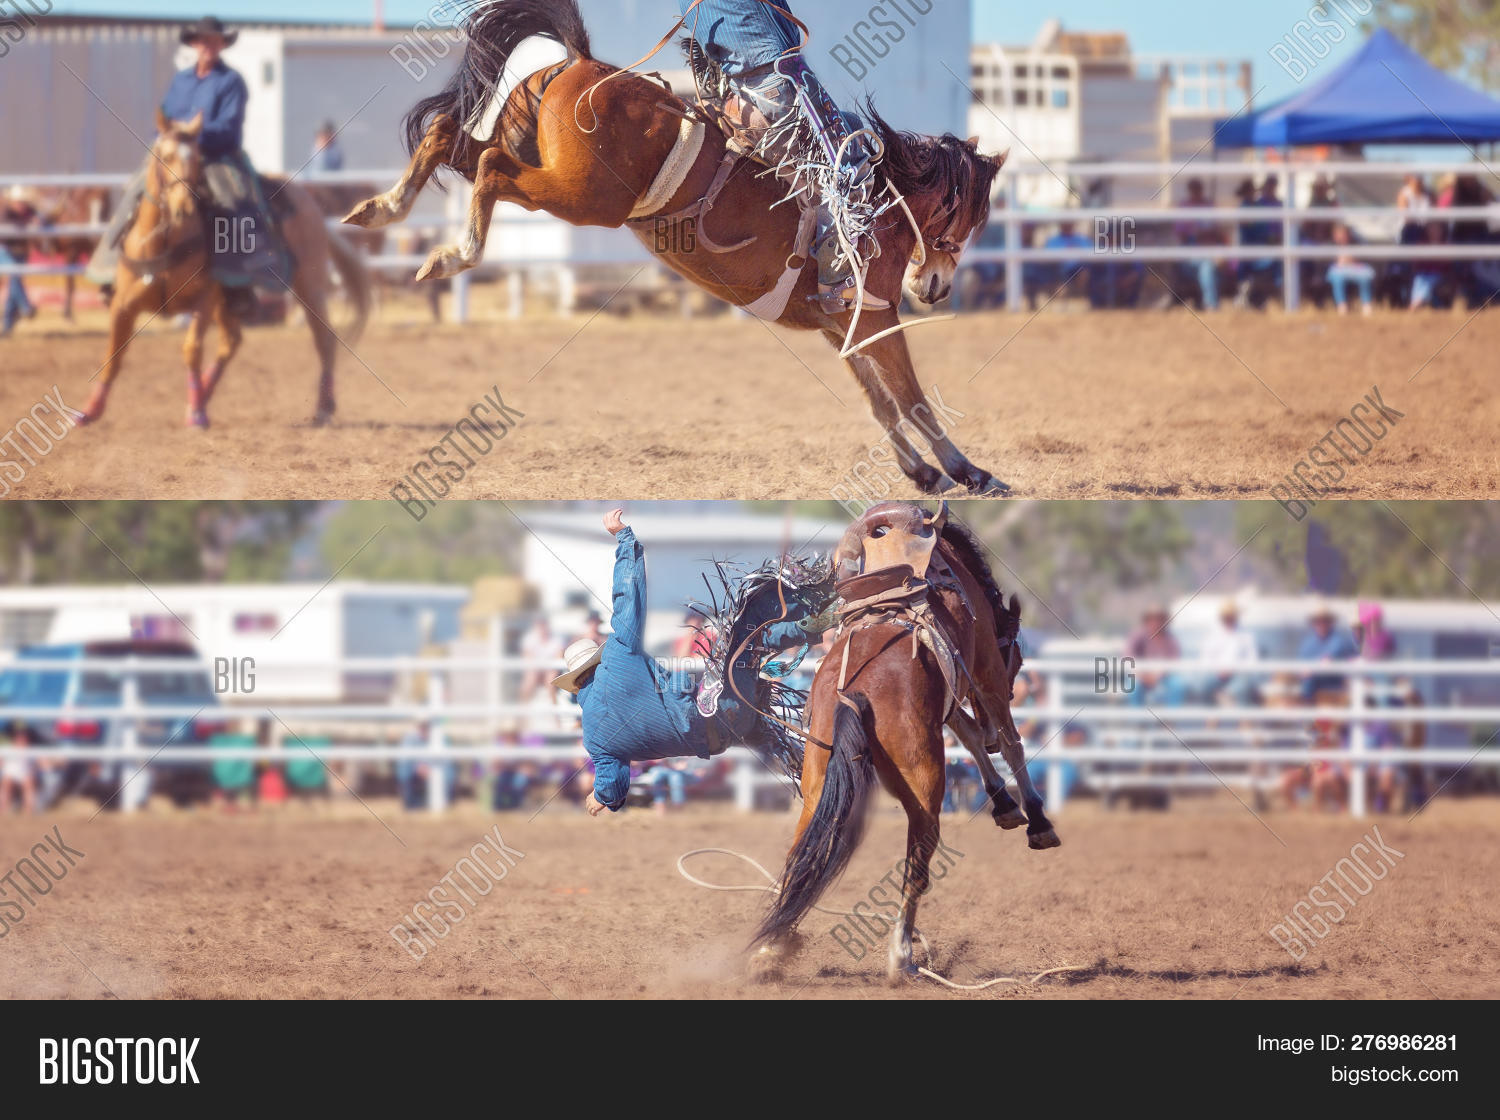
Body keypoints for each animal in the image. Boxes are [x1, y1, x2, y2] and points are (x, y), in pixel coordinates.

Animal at [72, 110, 373, 429]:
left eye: (196, 158)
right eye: (165, 156)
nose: (184, 207)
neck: (163, 242)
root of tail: (309, 202)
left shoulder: (203, 301)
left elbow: (191, 350)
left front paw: (196, 415)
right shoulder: (122, 305)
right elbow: (113, 356)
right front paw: (90, 410)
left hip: (309, 286)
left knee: (324, 339)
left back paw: (323, 408)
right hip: (230, 302)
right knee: (232, 341)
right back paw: (204, 393)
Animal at [345, 0, 1010, 496]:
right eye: (971, 216)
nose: (936, 286)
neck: (879, 201)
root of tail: (581, 65)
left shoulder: (840, 325)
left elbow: (881, 402)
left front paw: (923, 473)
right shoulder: (876, 314)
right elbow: (912, 399)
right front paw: (969, 472)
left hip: (534, 155)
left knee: (449, 138)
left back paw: (380, 210)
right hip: (579, 196)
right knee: (487, 170)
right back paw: (451, 254)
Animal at [752, 501, 1059, 983]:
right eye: (1018, 657)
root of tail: (852, 694)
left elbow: (971, 735)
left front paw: (1005, 804)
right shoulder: (986, 670)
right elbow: (1010, 743)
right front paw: (1035, 819)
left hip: (818, 783)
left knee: (803, 855)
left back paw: (772, 948)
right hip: (924, 786)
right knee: (916, 867)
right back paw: (902, 955)